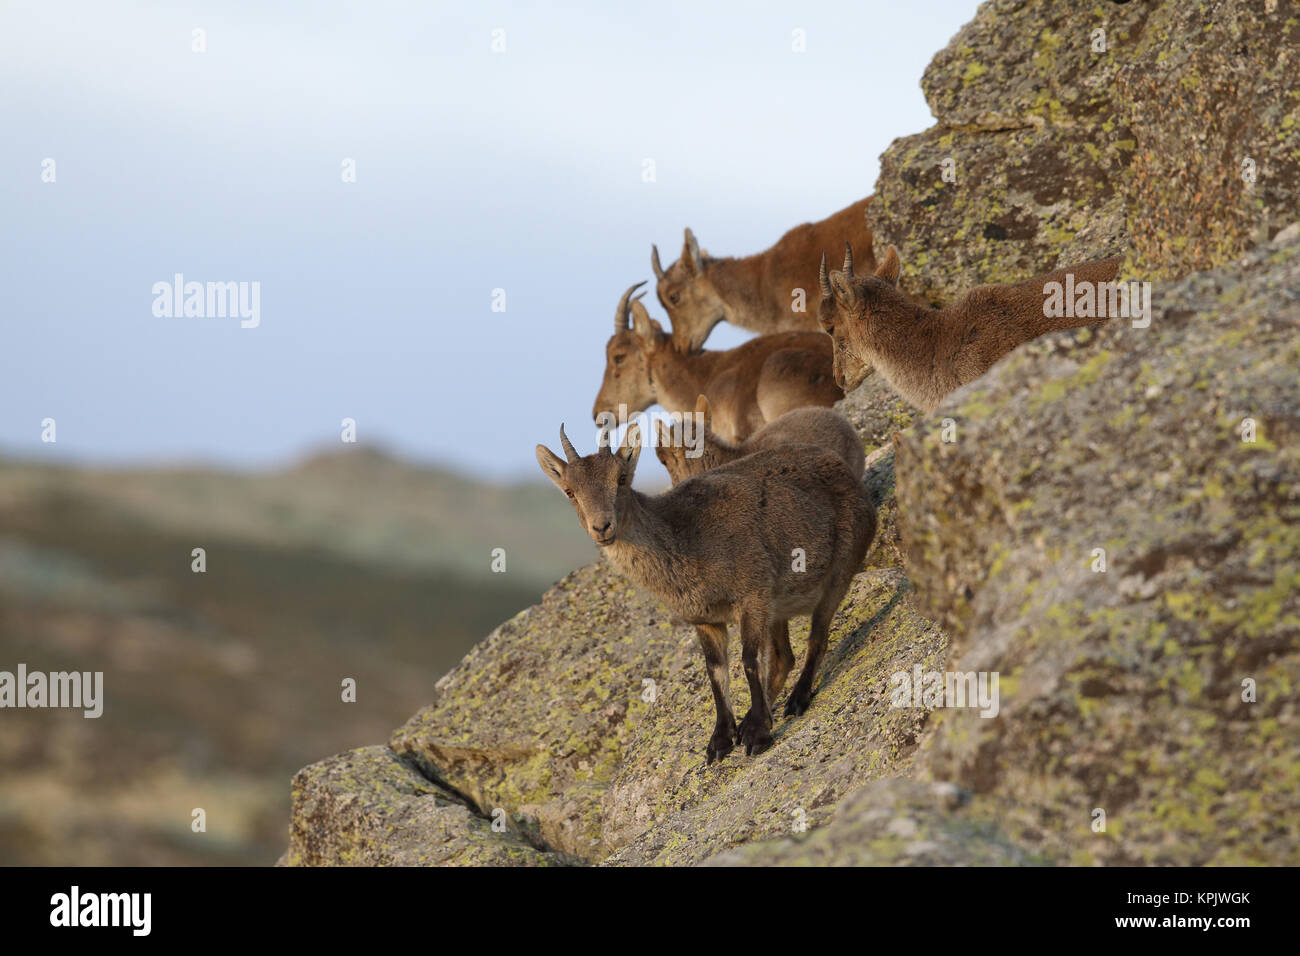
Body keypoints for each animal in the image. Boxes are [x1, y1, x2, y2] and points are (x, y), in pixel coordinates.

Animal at [536, 423, 876, 762]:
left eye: (620, 478)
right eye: (570, 491)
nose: (602, 527)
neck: (685, 538)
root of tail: (842, 468)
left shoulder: (751, 596)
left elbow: (748, 660)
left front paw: (757, 734)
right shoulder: (704, 619)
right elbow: (715, 671)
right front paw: (722, 740)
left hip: (839, 572)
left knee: (817, 637)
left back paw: (797, 699)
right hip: (777, 607)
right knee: (783, 657)